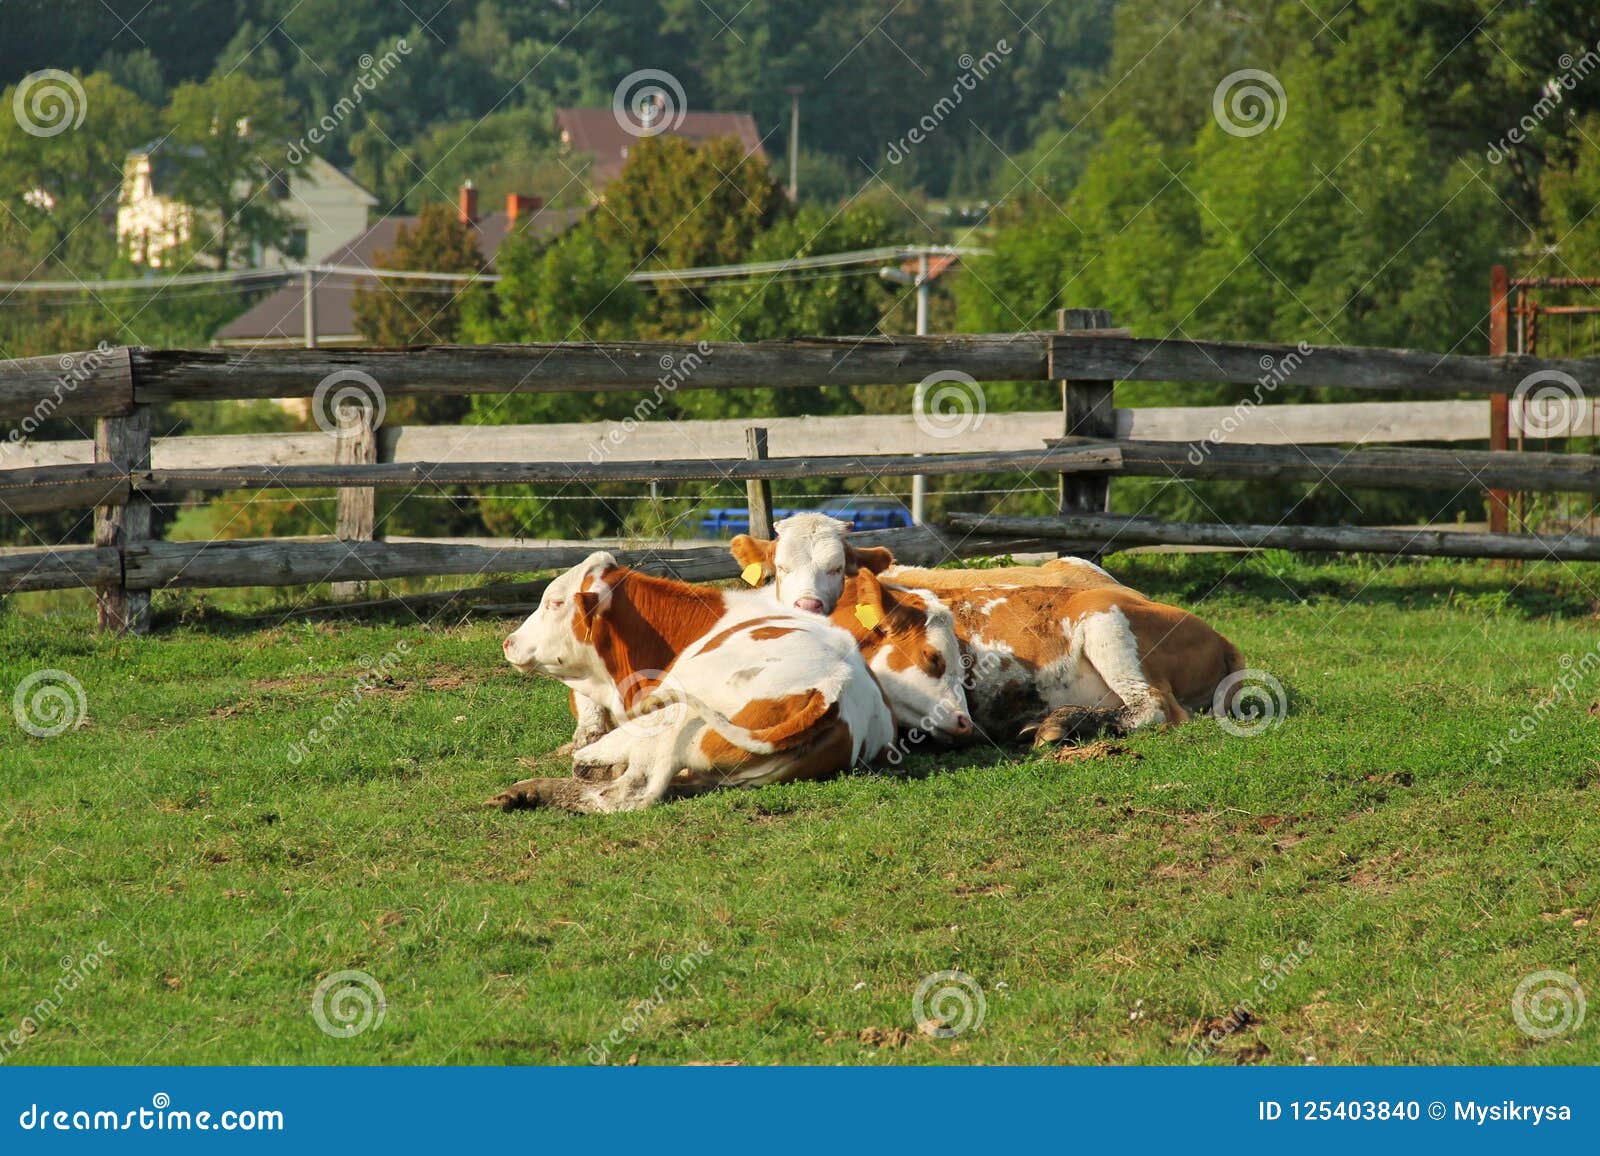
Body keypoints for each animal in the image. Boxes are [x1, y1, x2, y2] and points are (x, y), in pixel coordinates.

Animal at [495, 552, 894, 812]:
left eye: (554, 602)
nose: (509, 641)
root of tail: (833, 688)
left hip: (679, 721)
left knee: (622, 793)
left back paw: (535, 789)